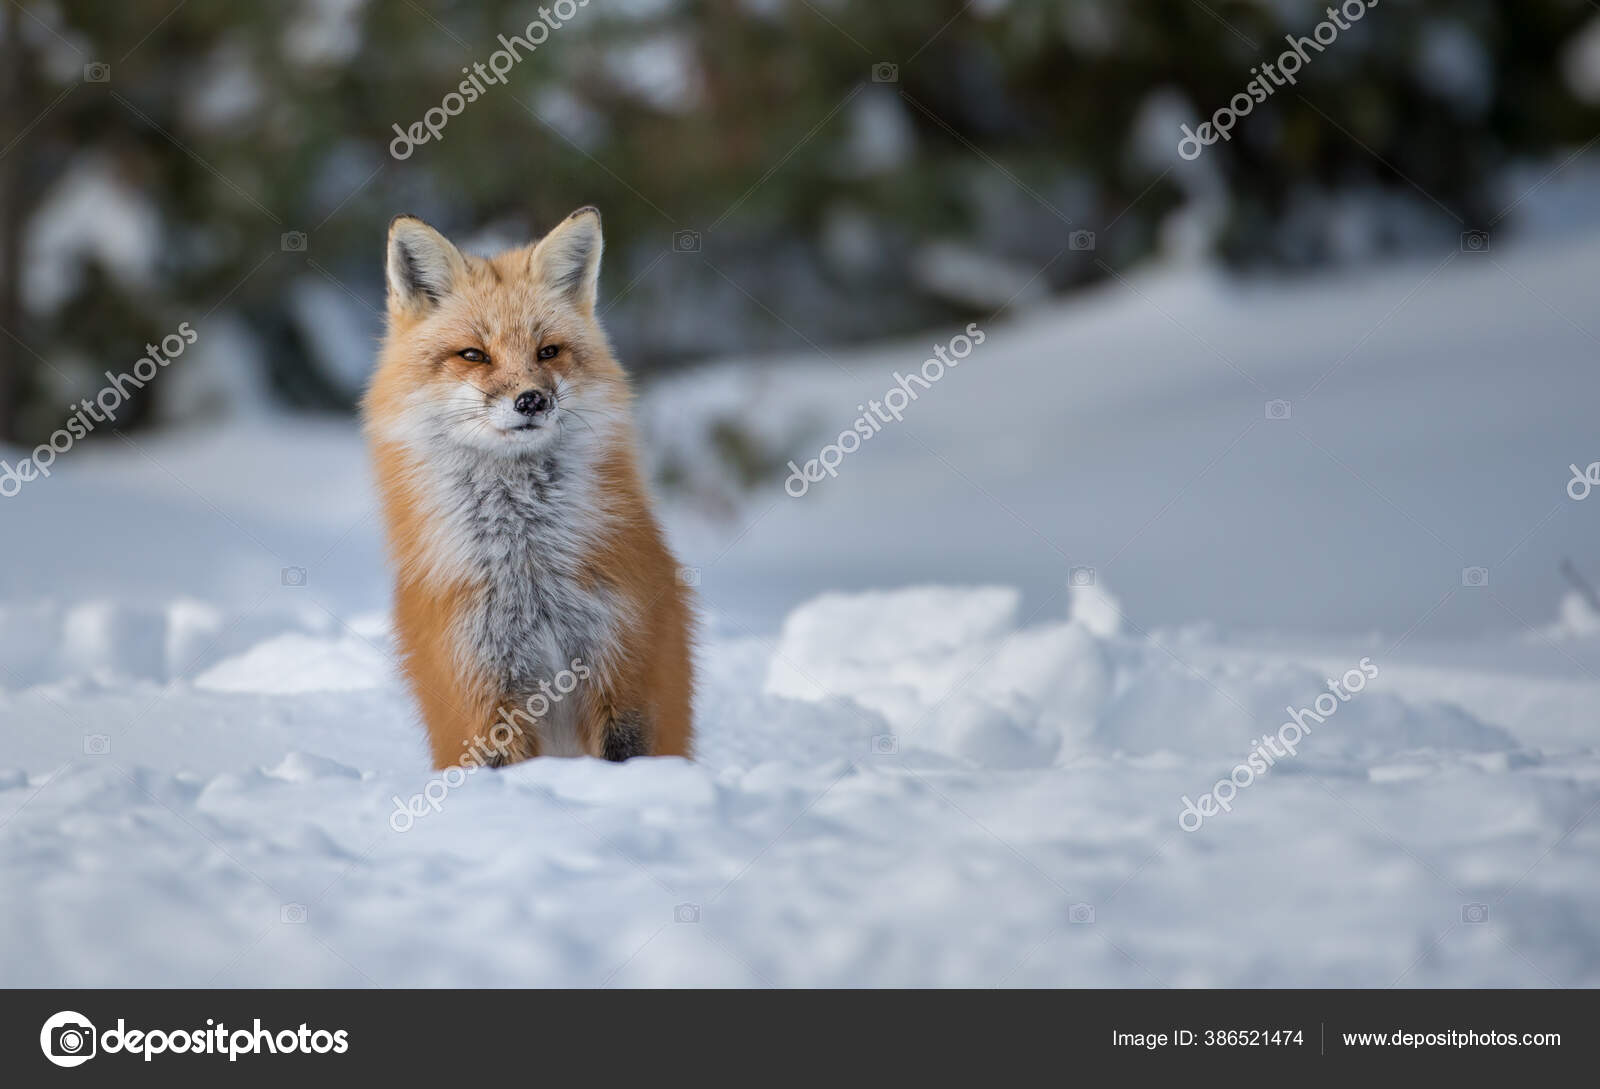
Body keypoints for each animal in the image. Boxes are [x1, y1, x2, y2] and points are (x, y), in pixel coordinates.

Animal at [363, 207, 694, 769]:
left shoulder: (624, 665)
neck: (527, 568)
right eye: (473, 354)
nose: (532, 400)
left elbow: (627, 756)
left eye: (548, 351)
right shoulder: (483, 688)